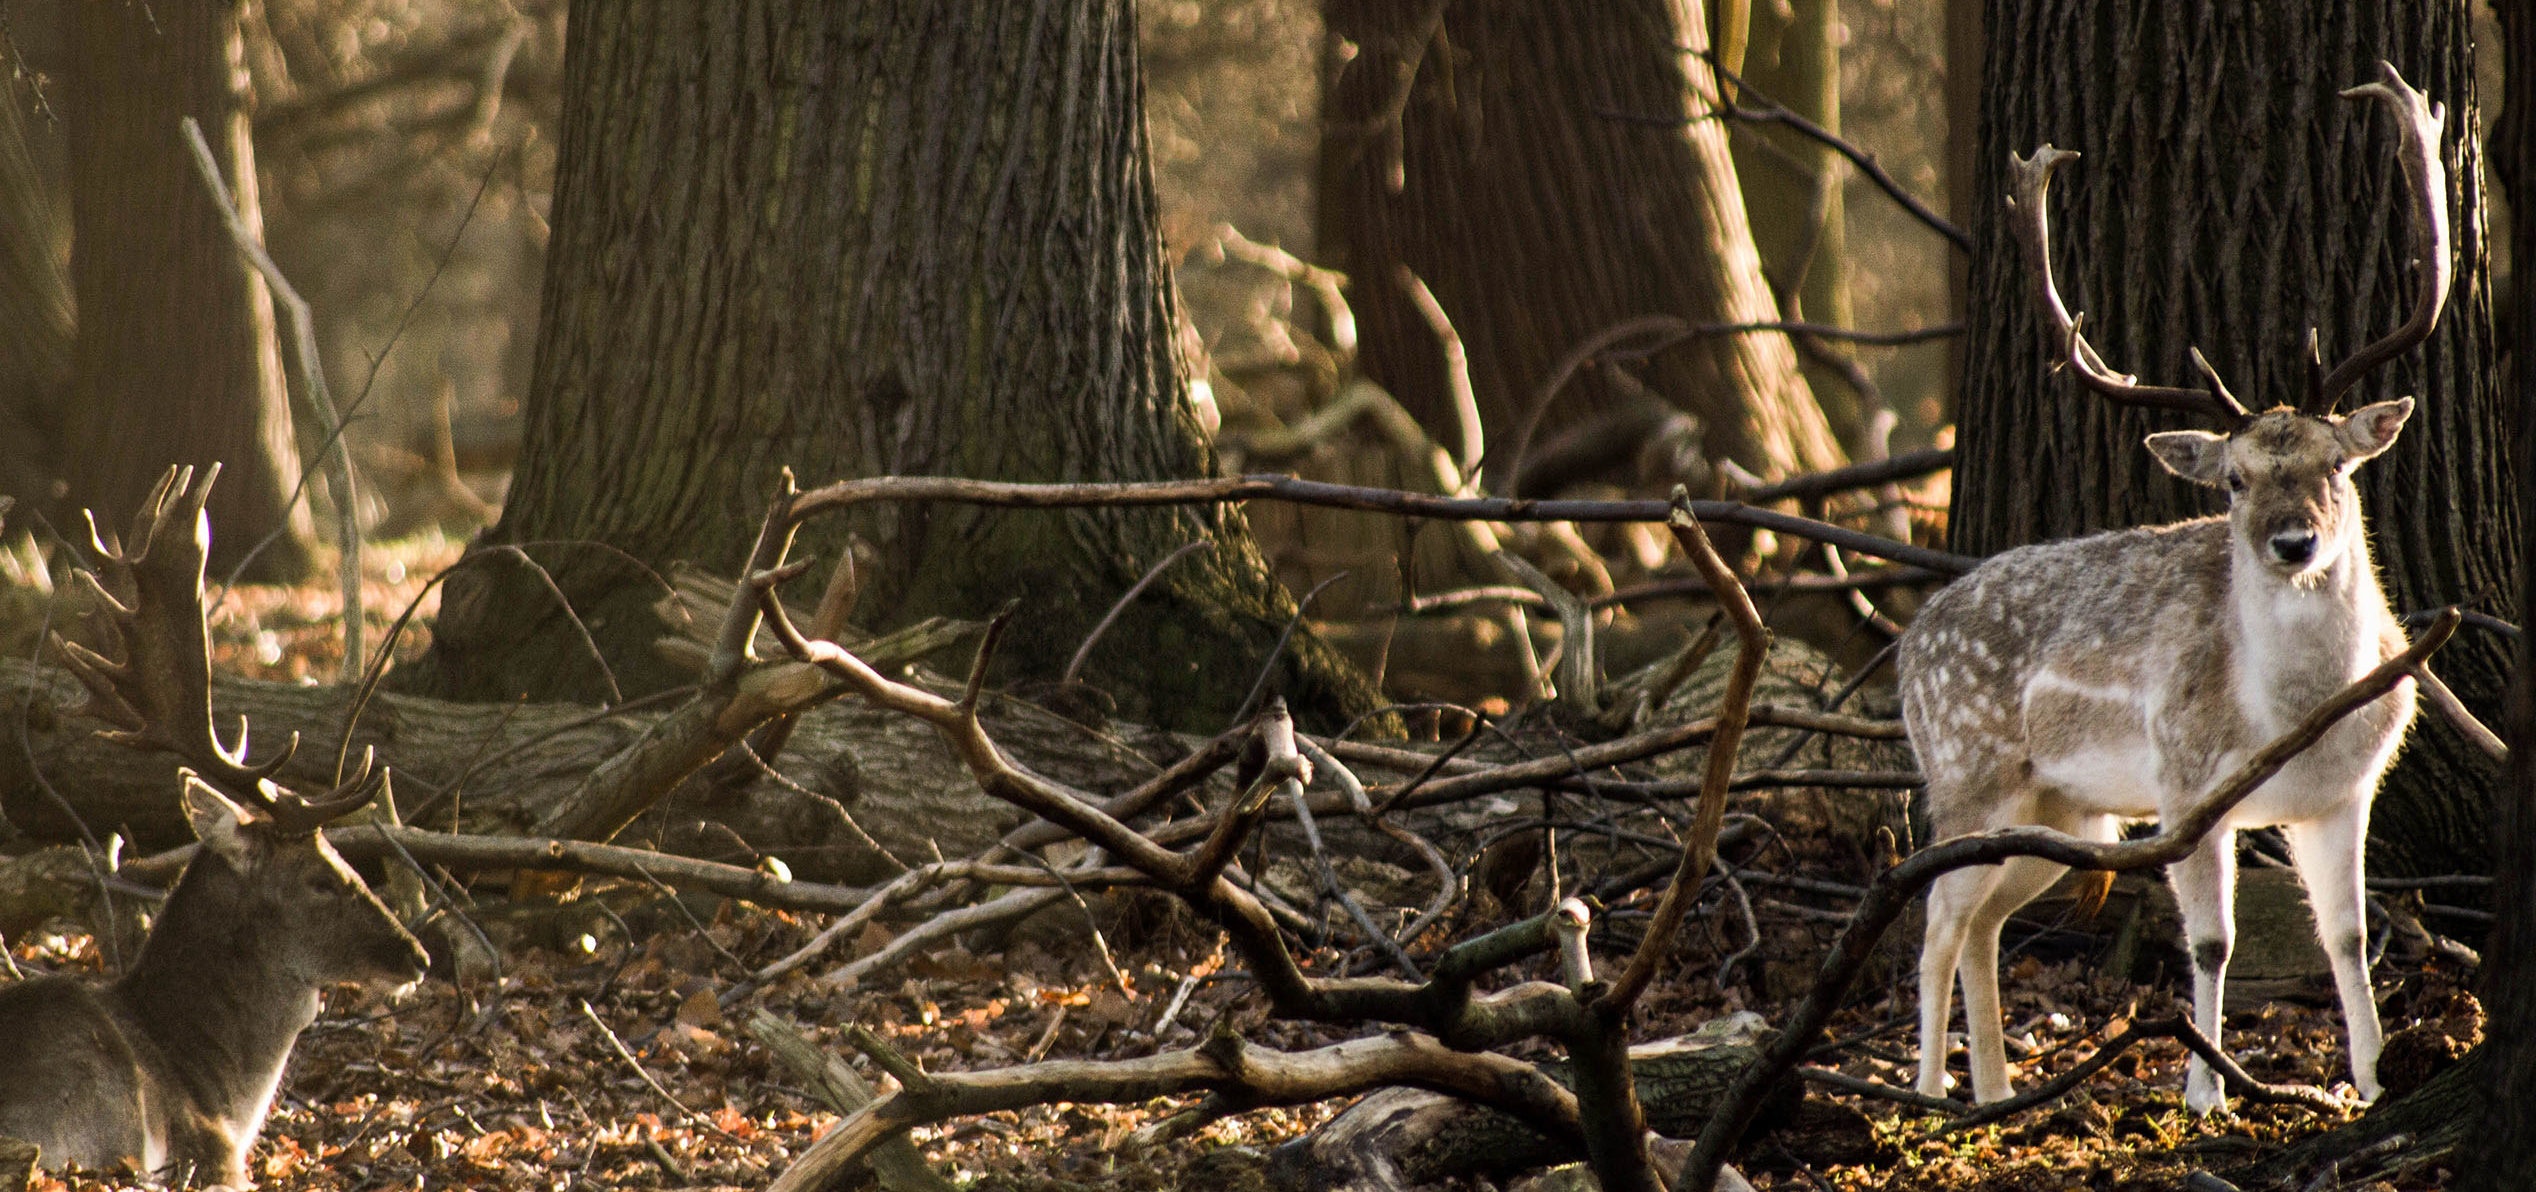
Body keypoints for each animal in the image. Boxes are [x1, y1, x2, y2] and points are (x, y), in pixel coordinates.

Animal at [1902, 63, 2449, 1116]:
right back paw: (1929, 1091)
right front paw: (2206, 1093)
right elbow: (2211, 941)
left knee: (1983, 922)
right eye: (2233, 479)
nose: (2292, 542)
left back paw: (1995, 1090)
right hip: (1968, 776)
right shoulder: (2188, 785)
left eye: (2336, 464)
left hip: (2066, 813)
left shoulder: (2344, 794)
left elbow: (2350, 936)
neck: (2293, 715)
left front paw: (2371, 1078)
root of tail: (1906, 643)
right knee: (1936, 919)